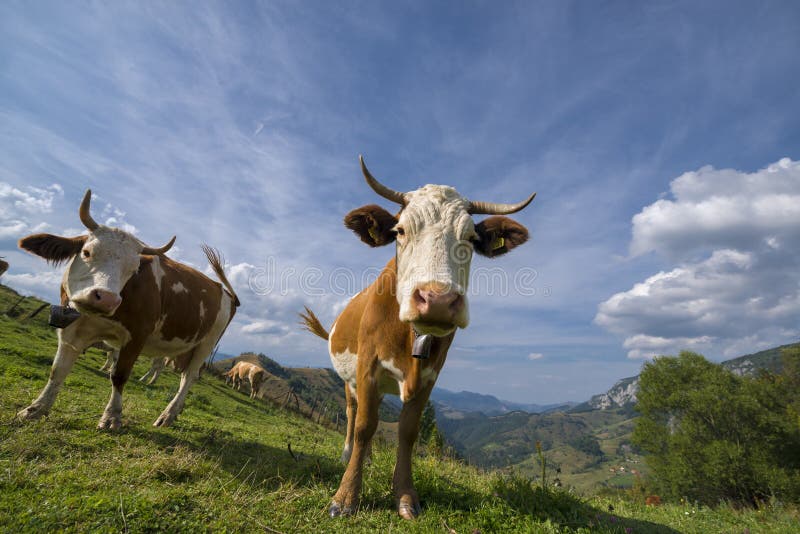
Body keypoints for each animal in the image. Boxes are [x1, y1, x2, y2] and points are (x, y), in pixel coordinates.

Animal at [16, 189, 240, 429]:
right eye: (86, 252)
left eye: (134, 269)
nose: (105, 299)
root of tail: (223, 290)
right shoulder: (70, 330)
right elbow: (57, 370)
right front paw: (35, 409)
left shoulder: (137, 335)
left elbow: (119, 375)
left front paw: (112, 417)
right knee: (183, 376)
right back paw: (176, 411)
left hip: (206, 344)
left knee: (189, 377)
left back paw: (168, 415)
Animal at [300, 156, 534, 519]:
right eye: (400, 231)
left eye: (471, 238)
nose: (437, 300)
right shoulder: (367, 366)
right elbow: (365, 425)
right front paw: (346, 496)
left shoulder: (429, 376)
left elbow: (408, 432)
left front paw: (405, 496)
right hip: (349, 378)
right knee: (354, 414)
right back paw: (349, 454)